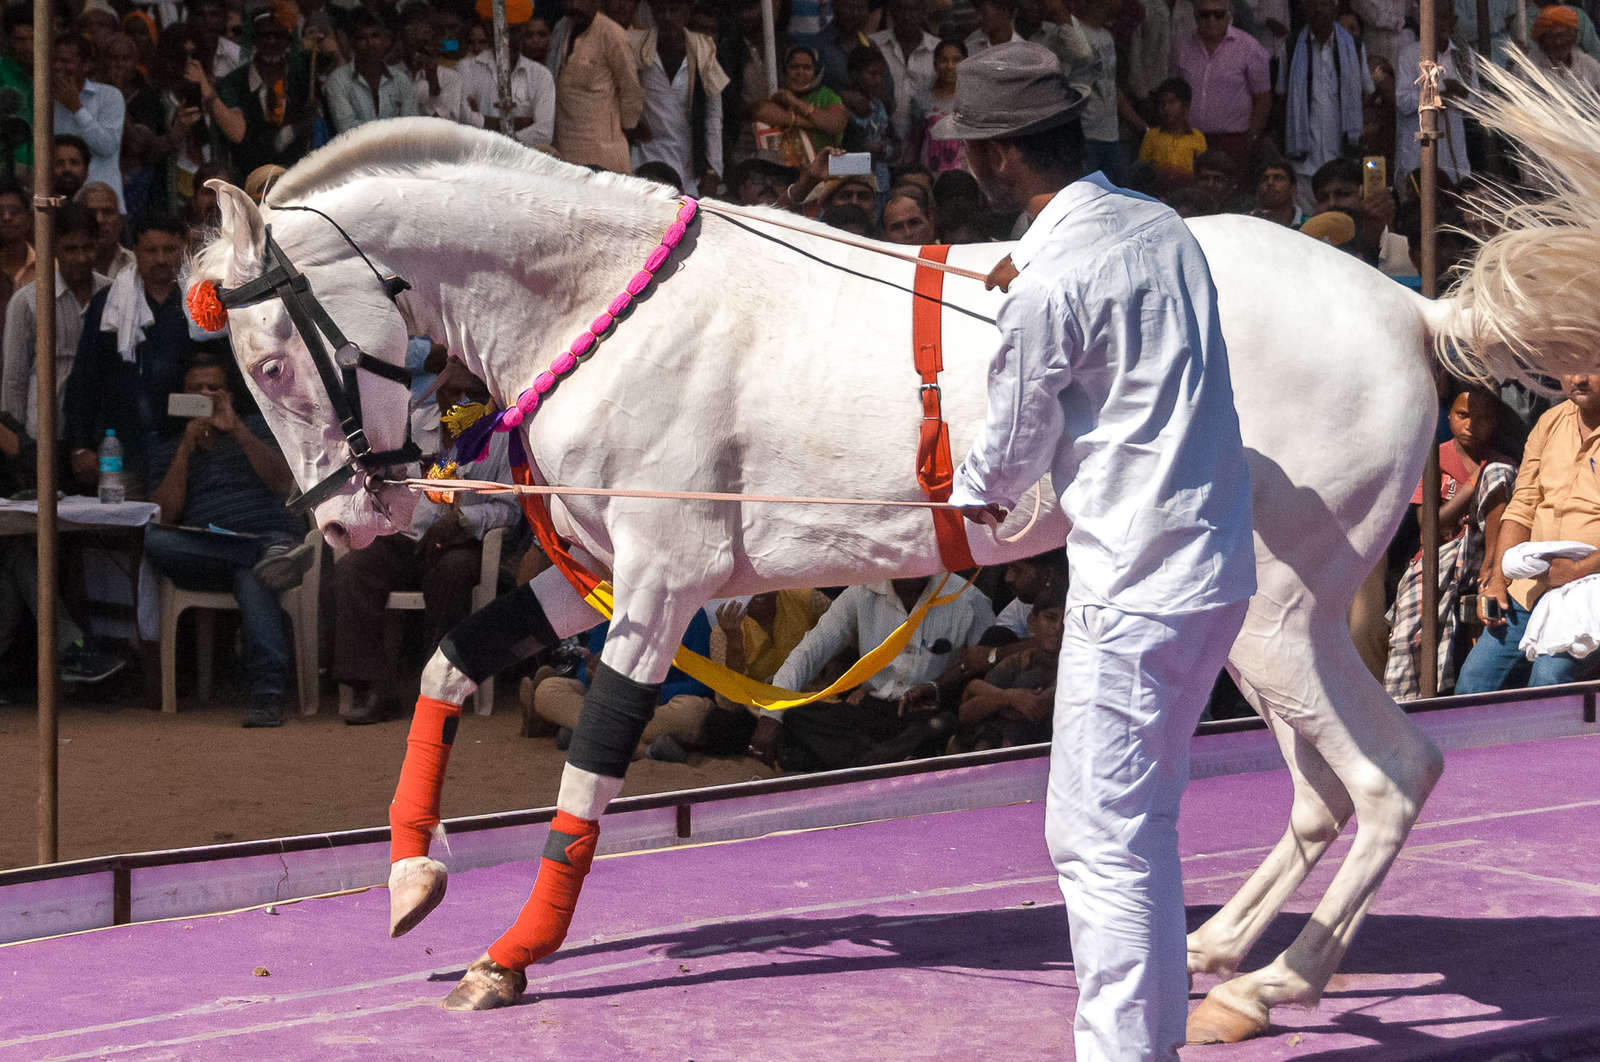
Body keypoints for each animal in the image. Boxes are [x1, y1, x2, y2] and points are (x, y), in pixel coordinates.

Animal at [191, 64, 1586, 1039]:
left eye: (273, 360)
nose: (346, 521)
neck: (602, 299)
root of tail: (1404, 307)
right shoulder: (592, 566)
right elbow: (446, 665)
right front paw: (412, 875)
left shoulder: (659, 586)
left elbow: (588, 773)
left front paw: (511, 956)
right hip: (1271, 620)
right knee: (1328, 791)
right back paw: (1225, 952)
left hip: (1273, 610)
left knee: (1388, 777)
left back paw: (1272, 981)